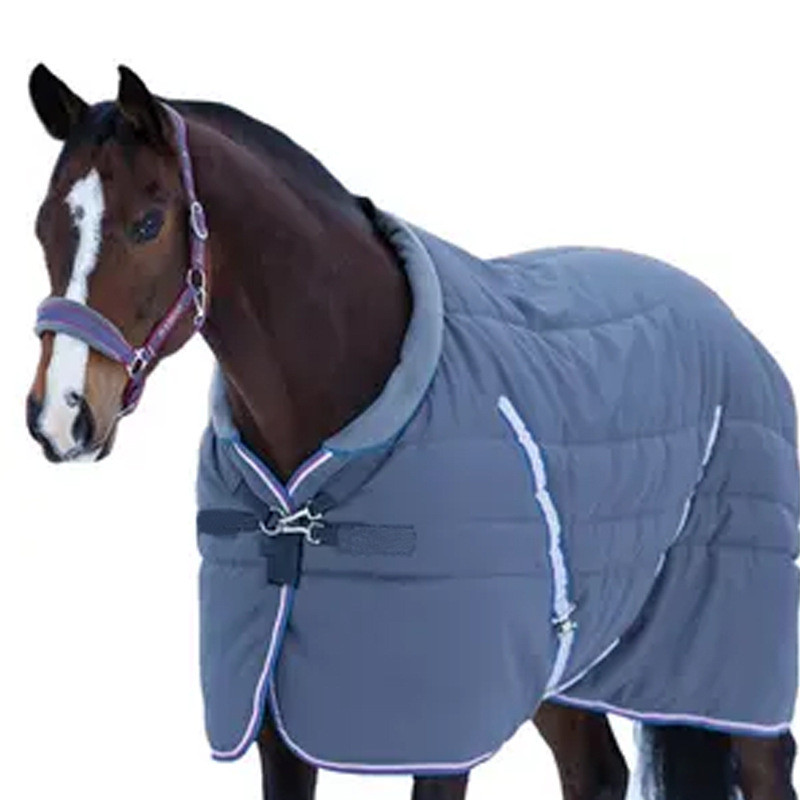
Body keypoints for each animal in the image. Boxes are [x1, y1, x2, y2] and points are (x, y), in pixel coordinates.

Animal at [25, 63, 798, 800]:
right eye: (43, 227)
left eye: (148, 223)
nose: (60, 414)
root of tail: (732, 325)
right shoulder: (272, 713)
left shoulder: (442, 731)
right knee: (597, 771)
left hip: (726, 662)